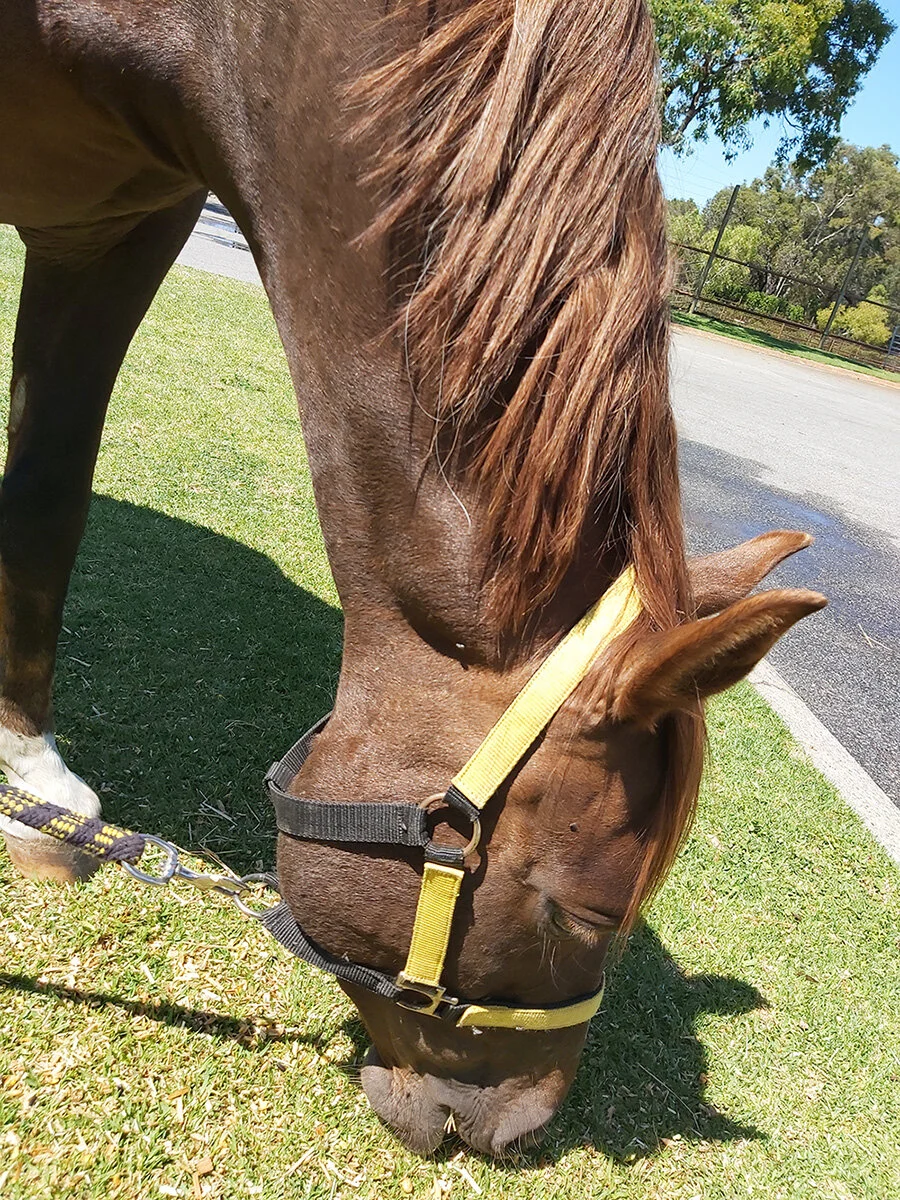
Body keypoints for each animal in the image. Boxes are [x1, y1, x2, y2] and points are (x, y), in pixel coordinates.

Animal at [0, 0, 824, 1156]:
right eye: (586, 915)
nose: (518, 1129)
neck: (218, 41)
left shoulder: (124, 221)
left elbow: (46, 490)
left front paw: (27, 783)